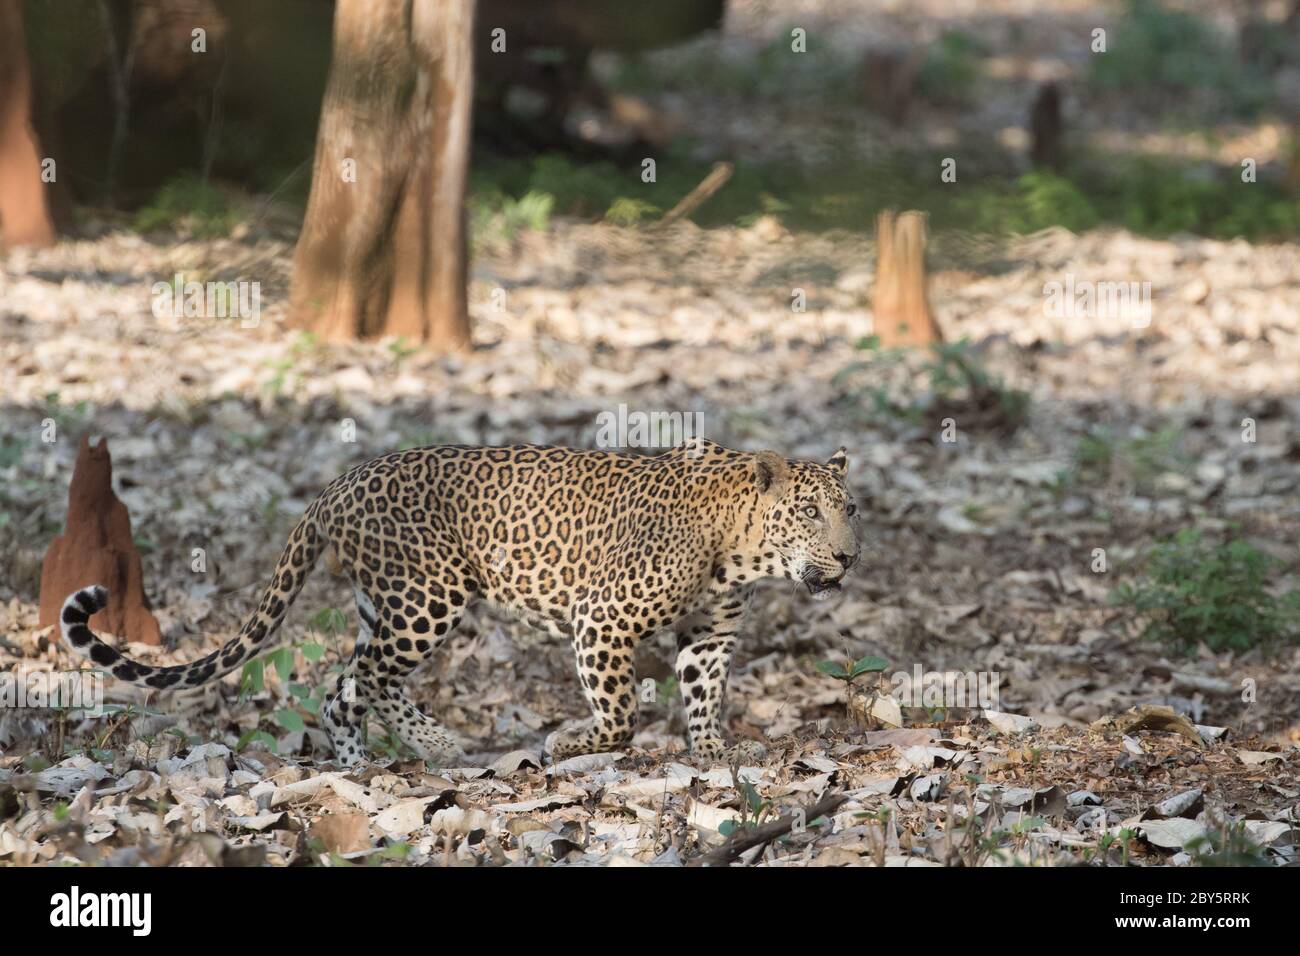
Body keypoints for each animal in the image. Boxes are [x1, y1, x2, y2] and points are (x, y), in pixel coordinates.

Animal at [60, 439, 860, 767]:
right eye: (810, 513)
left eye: (850, 510)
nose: (851, 556)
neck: (743, 551)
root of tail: (336, 484)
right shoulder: (603, 618)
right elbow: (620, 717)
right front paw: (569, 743)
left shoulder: (707, 636)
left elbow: (703, 695)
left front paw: (716, 750)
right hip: (428, 595)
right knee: (366, 679)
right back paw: (433, 746)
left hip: (382, 604)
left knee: (345, 684)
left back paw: (374, 761)